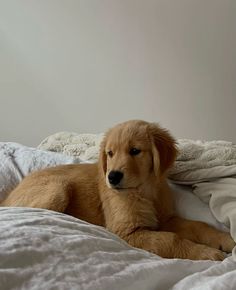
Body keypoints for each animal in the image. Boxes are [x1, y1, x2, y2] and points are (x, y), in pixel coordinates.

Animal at [1, 120, 234, 260]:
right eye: (110, 153)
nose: (112, 177)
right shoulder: (128, 232)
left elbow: (197, 225)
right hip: (58, 189)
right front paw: (205, 252)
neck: (145, 190)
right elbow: (170, 239)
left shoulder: (166, 219)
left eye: (135, 151)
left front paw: (224, 239)